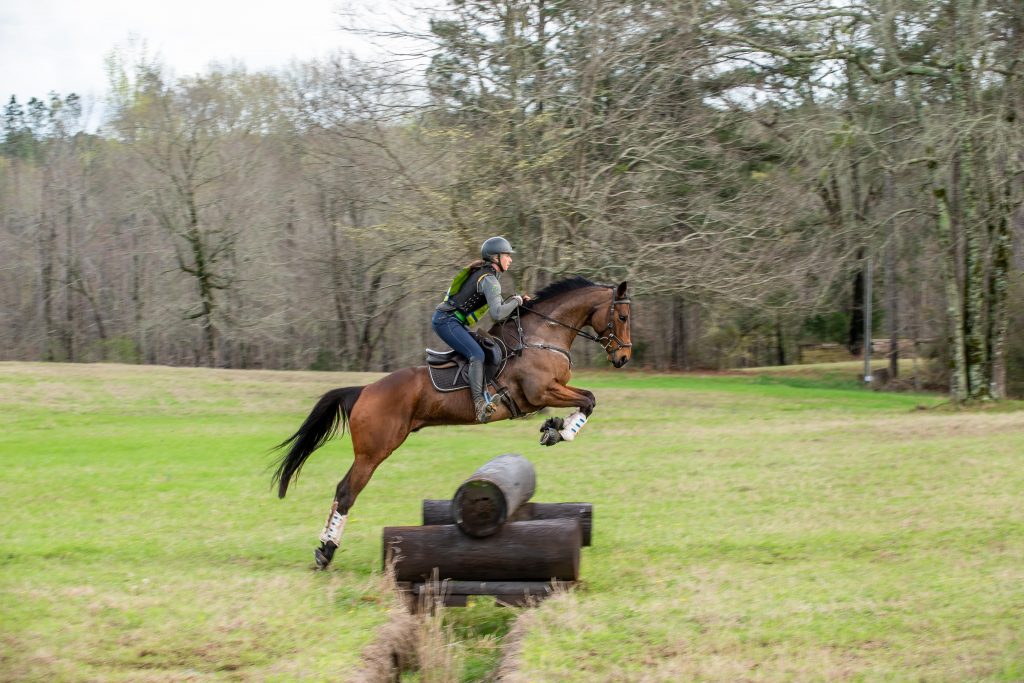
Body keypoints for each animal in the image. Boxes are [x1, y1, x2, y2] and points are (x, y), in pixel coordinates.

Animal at [272, 276, 632, 568]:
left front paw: (554, 427)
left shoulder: (549, 393)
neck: (540, 336)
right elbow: (588, 400)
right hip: (373, 452)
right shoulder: (541, 391)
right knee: (347, 491)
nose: (624, 357)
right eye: (623, 316)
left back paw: (325, 547)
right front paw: (561, 431)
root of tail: (364, 390)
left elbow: (588, 398)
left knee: (344, 490)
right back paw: (326, 551)